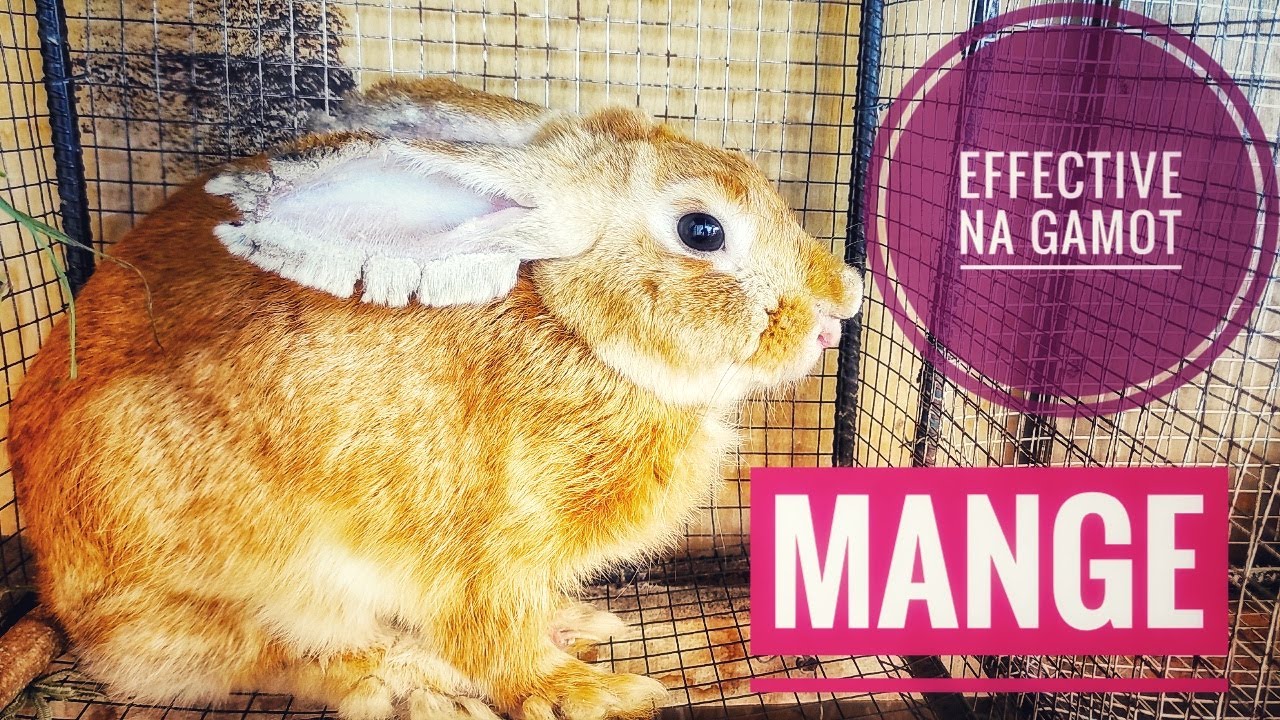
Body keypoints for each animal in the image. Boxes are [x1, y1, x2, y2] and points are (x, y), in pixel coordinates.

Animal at [8, 78, 863, 720]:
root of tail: (59, 595)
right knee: (289, 655)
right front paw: (592, 694)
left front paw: (575, 635)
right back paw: (418, 685)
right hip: (253, 582)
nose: (837, 310)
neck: (576, 332)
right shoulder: (481, 556)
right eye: (701, 230)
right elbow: (497, 646)